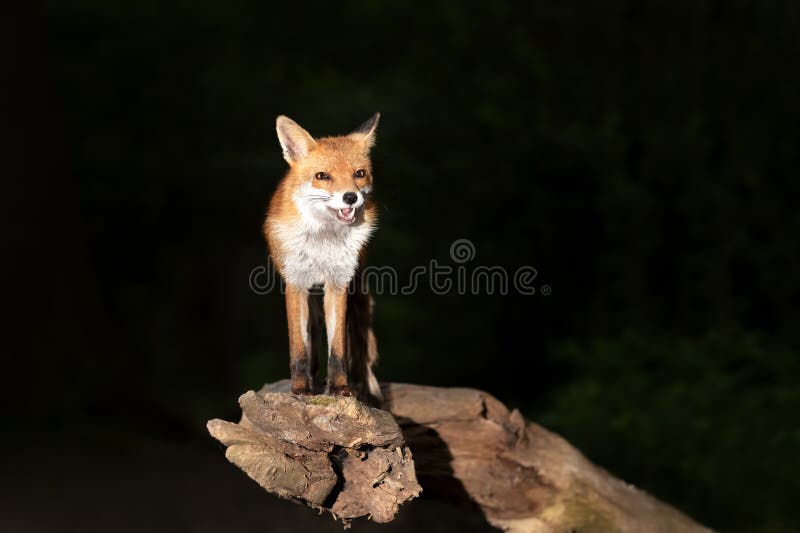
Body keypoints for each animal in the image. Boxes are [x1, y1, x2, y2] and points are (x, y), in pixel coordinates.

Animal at [263, 113, 382, 404]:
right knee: (314, 332)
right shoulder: (295, 284)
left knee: (358, 346)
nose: (350, 197)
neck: (323, 242)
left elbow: (338, 348)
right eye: (322, 176)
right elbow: (299, 348)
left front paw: (340, 388)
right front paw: (301, 389)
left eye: (359, 174)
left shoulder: (338, 284)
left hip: (357, 295)